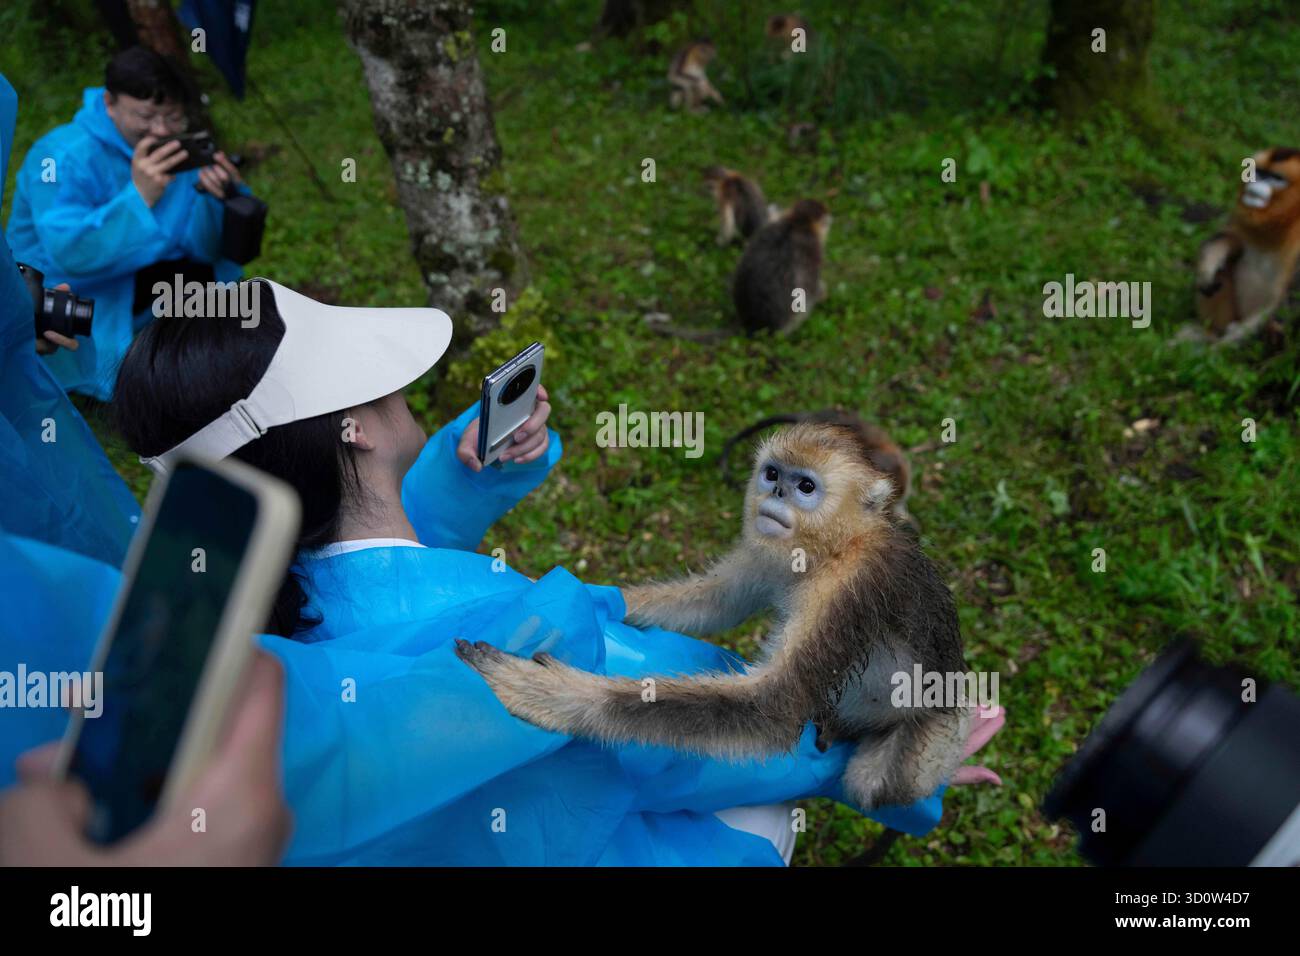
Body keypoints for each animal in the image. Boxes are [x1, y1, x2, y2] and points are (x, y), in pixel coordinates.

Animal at [1194, 147, 1300, 344]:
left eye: (1275, 178)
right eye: (1260, 172)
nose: (1254, 181)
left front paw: (1223, 348)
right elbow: (1231, 236)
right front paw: (1208, 264)